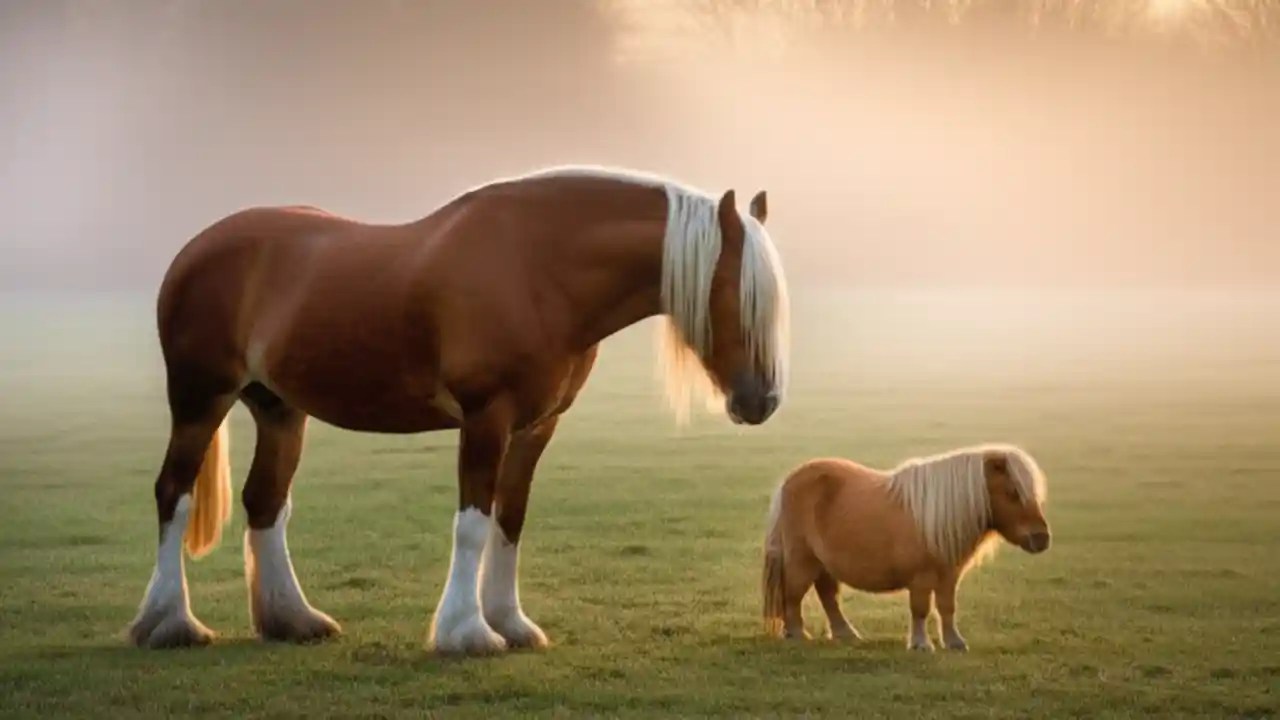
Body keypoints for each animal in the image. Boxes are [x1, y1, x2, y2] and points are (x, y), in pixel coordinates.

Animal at [125, 165, 790, 655]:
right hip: (200, 398)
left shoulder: (536, 427)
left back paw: (293, 620)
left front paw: (512, 624)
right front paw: (467, 632)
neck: (537, 267)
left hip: (280, 410)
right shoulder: (485, 417)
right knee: (172, 494)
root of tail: (195, 249)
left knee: (265, 503)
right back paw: (170, 623)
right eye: (732, 292)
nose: (760, 401)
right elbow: (473, 521)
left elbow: (509, 519)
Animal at [761, 444, 1050, 651]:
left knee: (827, 596)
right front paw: (921, 644)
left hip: (823, 564)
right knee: (793, 595)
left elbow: (947, 607)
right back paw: (797, 634)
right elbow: (920, 609)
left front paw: (954, 642)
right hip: (802, 560)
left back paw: (846, 634)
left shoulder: (949, 575)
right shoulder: (920, 577)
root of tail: (789, 480)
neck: (936, 517)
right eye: (1013, 492)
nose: (1042, 539)